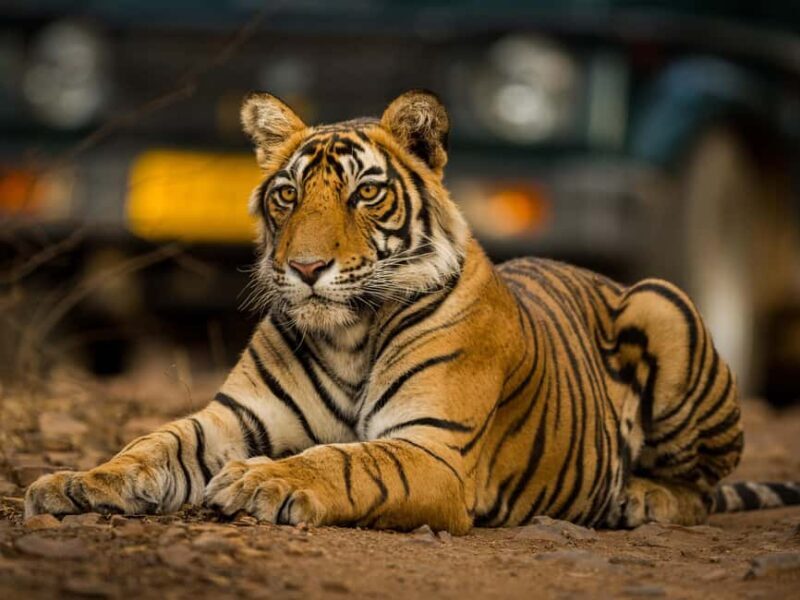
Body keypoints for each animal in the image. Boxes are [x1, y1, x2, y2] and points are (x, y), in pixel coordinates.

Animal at [25, 90, 800, 533]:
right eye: (287, 196)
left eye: (365, 193)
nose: (306, 269)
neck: (347, 334)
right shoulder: (233, 418)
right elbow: (153, 443)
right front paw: (77, 482)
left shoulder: (432, 447)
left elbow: (342, 461)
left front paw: (264, 479)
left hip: (663, 303)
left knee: (704, 486)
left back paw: (643, 501)